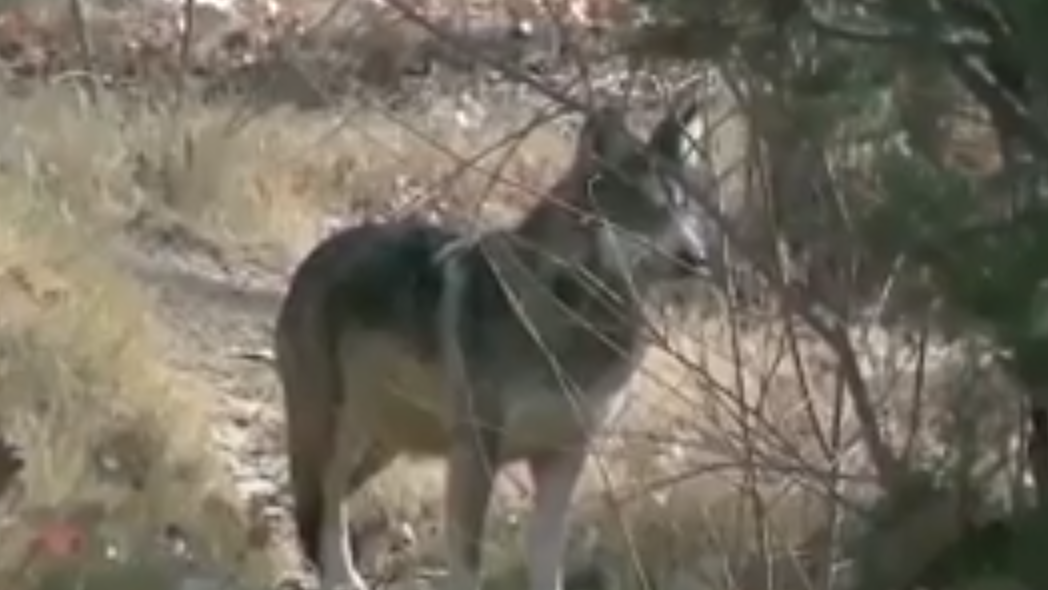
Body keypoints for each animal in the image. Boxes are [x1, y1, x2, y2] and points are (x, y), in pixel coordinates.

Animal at [274, 100, 713, 590]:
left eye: (683, 208)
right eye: (642, 208)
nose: (698, 258)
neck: (573, 314)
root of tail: (314, 257)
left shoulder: (565, 458)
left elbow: (547, 562)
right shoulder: (475, 456)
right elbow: (467, 566)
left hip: (385, 445)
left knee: (322, 507)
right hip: (340, 435)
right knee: (324, 508)